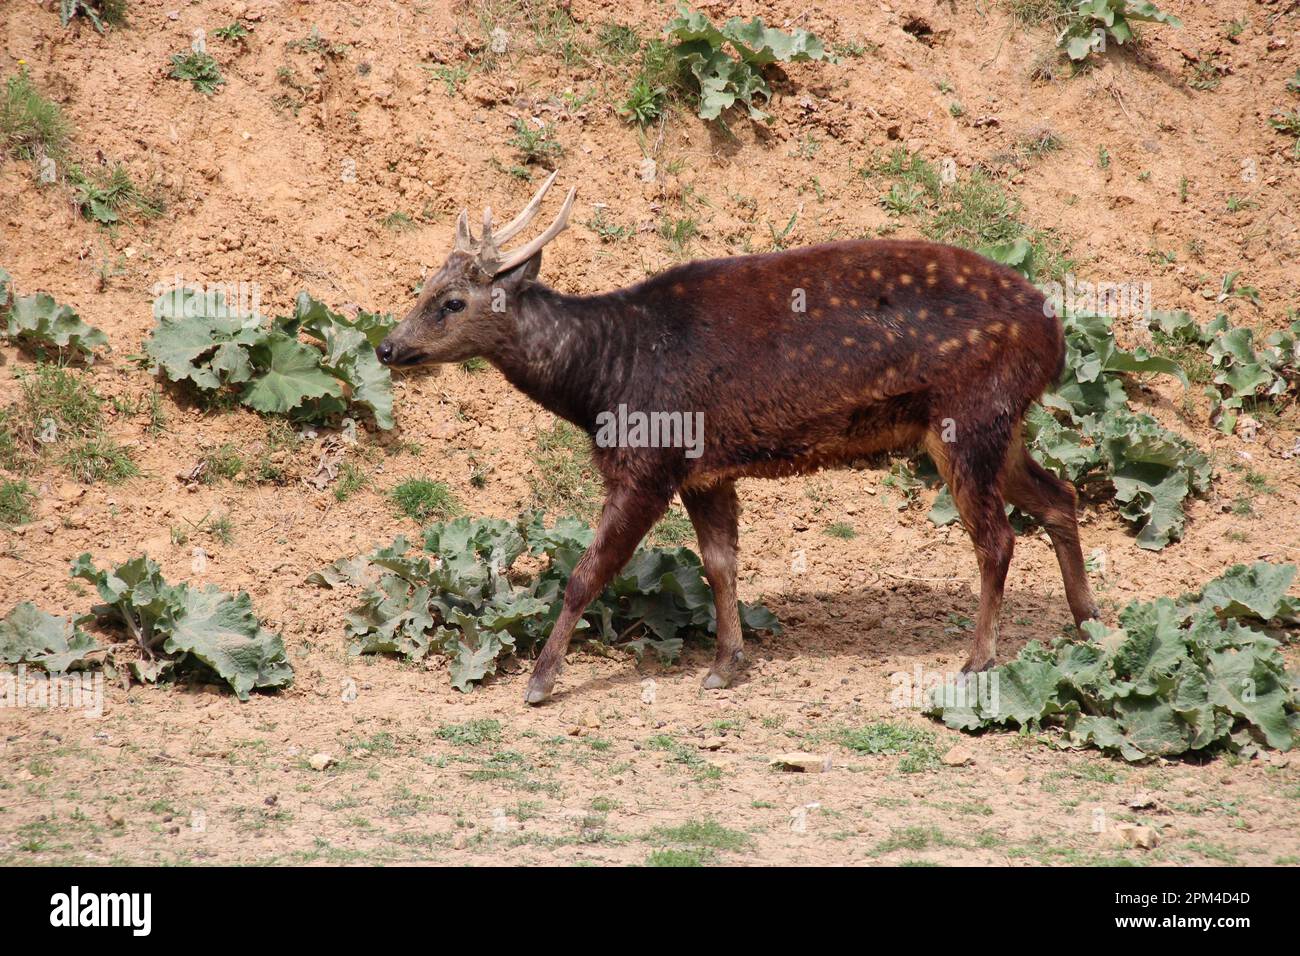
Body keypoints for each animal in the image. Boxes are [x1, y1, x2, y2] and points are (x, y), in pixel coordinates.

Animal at [377, 172, 1100, 705]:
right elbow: (719, 564)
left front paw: (539, 681)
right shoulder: (705, 468)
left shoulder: (649, 459)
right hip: (1000, 426)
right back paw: (1089, 625)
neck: (605, 377)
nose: (386, 346)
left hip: (968, 416)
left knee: (997, 538)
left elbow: (587, 574)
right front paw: (726, 665)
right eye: (425, 286)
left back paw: (978, 661)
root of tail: (1056, 334)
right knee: (1060, 494)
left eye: (451, 302)